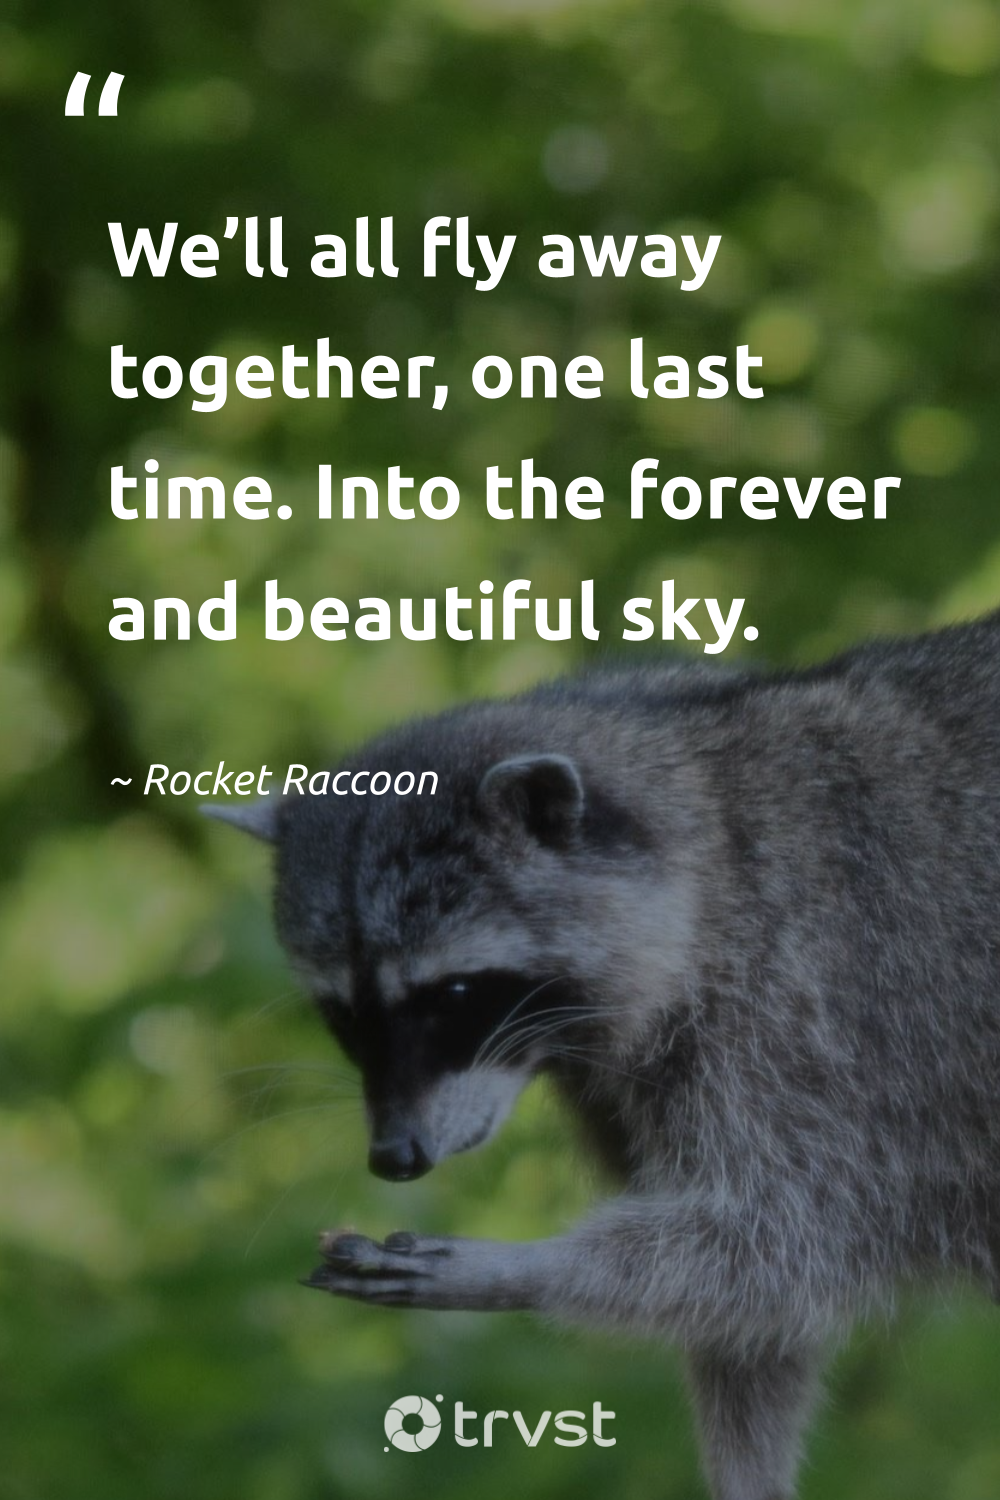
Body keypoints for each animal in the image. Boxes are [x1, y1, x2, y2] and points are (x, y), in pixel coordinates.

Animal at [207, 613, 1000, 1500]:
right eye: (341, 1013)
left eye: (453, 993)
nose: (395, 1157)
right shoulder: (632, 1081)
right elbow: (753, 1317)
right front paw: (747, 1469)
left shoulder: (819, 1011)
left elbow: (791, 1239)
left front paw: (521, 1269)